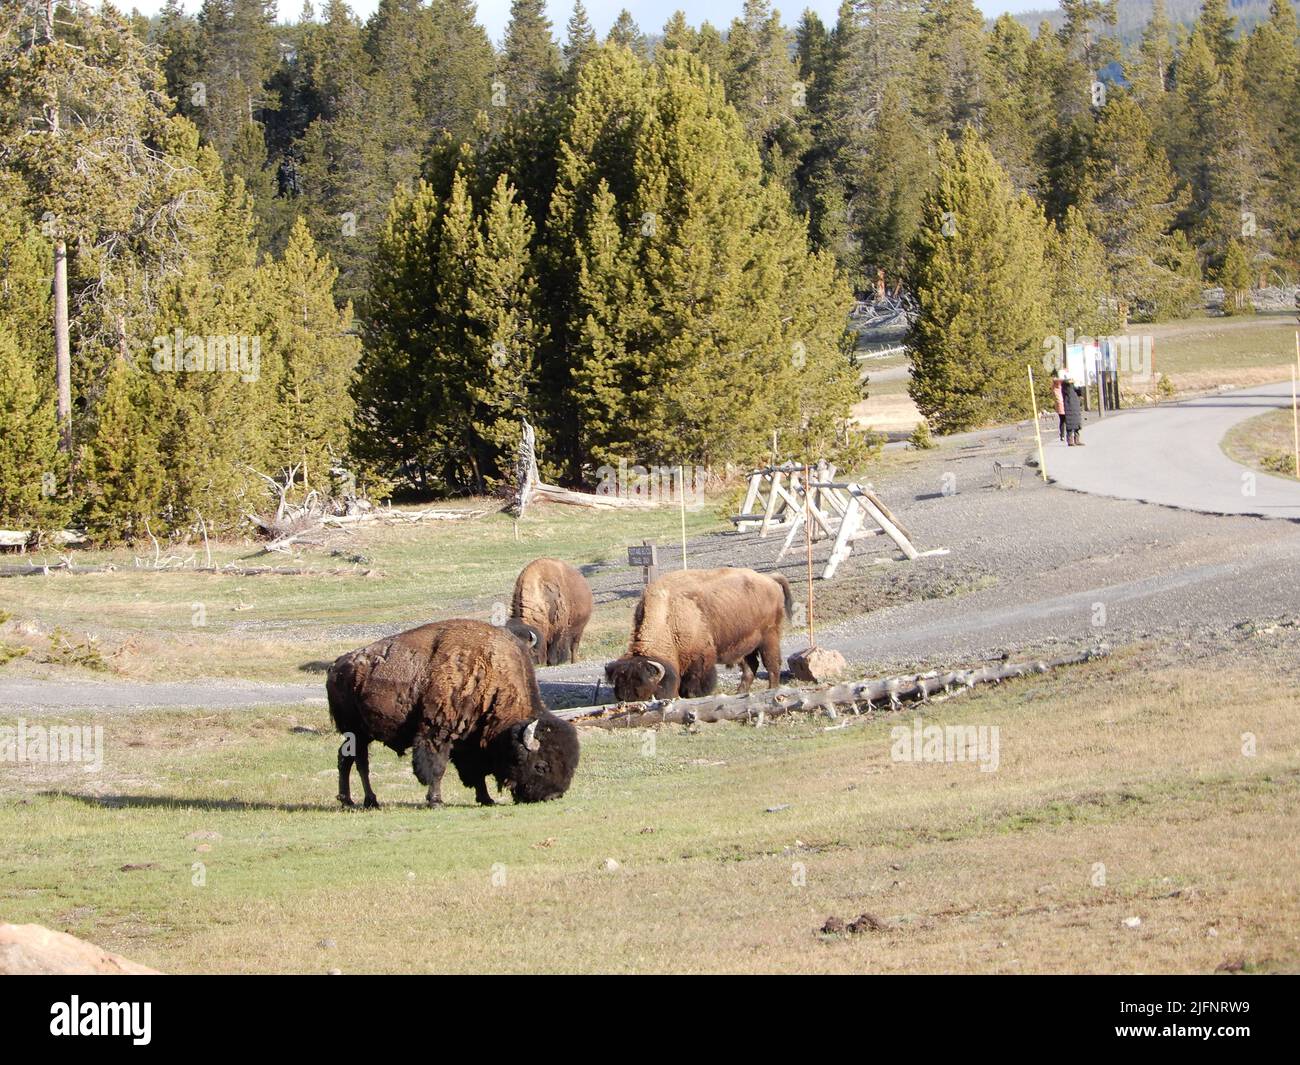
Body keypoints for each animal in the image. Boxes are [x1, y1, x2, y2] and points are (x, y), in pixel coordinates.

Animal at [326, 619, 580, 808]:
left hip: (361, 734)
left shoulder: (470, 740)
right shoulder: (437, 733)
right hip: (354, 732)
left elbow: (476, 772)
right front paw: (436, 801)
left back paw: (357, 800)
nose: (552, 796)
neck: (489, 671)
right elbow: (436, 768)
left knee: (350, 760)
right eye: (541, 766)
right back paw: (361, 801)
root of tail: (336, 666)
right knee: (356, 761)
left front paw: (486, 799)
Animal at [604, 567, 793, 702]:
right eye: (620, 696)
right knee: (750, 667)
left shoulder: (700, 659)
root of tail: (769, 579)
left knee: (772, 665)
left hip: (769, 636)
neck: (667, 616)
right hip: (745, 643)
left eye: (651, 693)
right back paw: (739, 693)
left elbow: (694, 684)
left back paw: (771, 691)